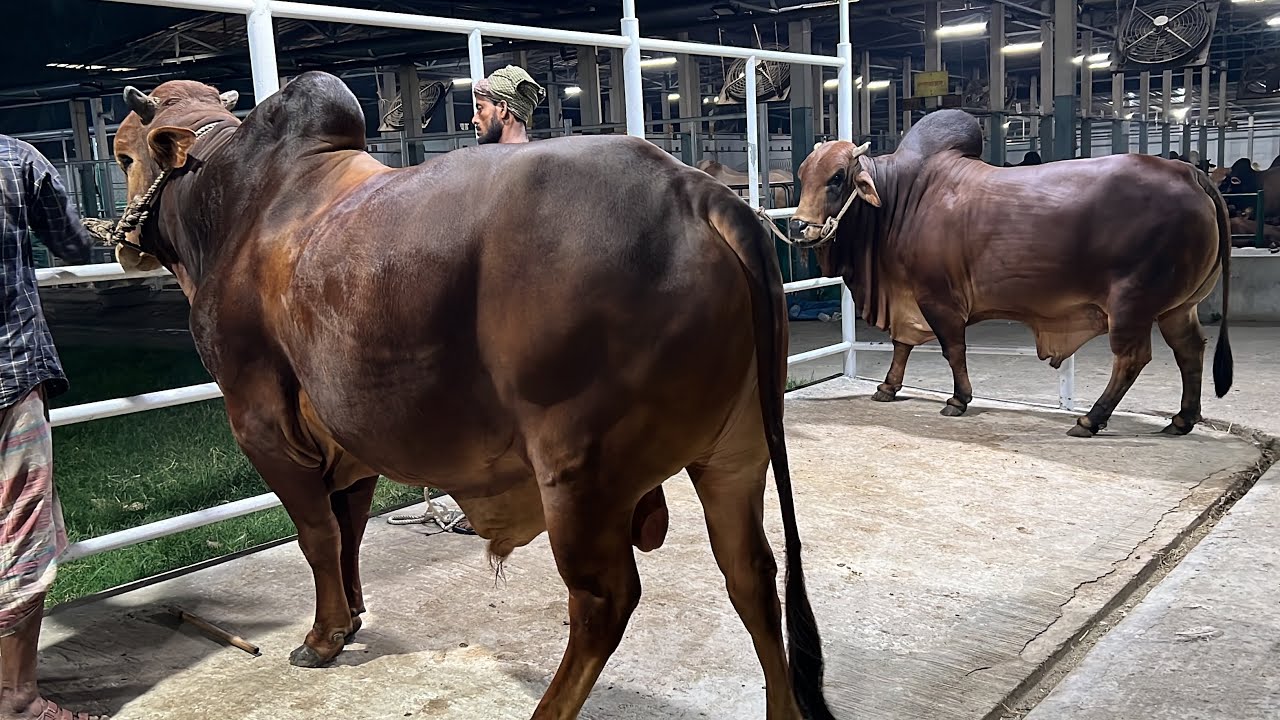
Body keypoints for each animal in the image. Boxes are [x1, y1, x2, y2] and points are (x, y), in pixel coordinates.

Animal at [108, 72, 836, 720]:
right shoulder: (349, 438)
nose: (121, 240)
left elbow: (317, 533)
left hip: (580, 474)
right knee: (752, 575)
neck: (231, 205)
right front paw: (351, 617)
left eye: (123, 154)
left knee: (605, 601)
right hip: (737, 452)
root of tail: (696, 192)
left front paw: (321, 637)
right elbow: (349, 530)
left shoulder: (260, 419)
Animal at [786, 109, 1233, 438]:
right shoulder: (906, 298)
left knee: (1131, 358)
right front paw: (887, 387)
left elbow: (953, 349)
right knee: (1190, 349)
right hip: (1177, 307)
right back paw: (1181, 419)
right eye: (802, 175)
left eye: (837, 178)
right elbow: (902, 343)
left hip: (1133, 303)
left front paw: (958, 399)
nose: (798, 226)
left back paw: (1091, 419)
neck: (900, 199)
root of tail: (1188, 173)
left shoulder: (938, 298)